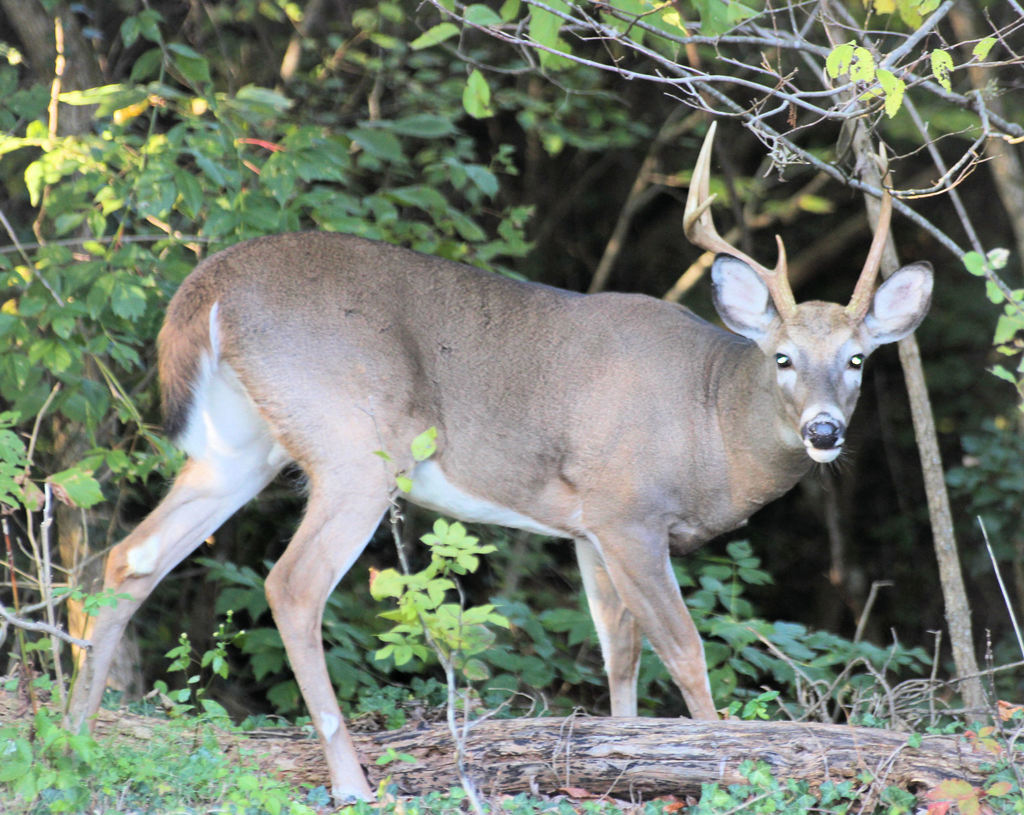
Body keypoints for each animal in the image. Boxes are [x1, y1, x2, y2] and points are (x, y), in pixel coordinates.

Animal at [66, 123, 932, 801]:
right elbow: (683, 651)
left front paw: (632, 759)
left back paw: (73, 733)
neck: (710, 418)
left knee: (127, 557)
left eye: (857, 361)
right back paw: (351, 783)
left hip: (238, 445)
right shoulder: (627, 511)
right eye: (783, 358)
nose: (825, 430)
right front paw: (719, 763)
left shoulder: (587, 528)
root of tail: (207, 288)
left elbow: (619, 654)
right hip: (355, 444)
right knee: (292, 583)